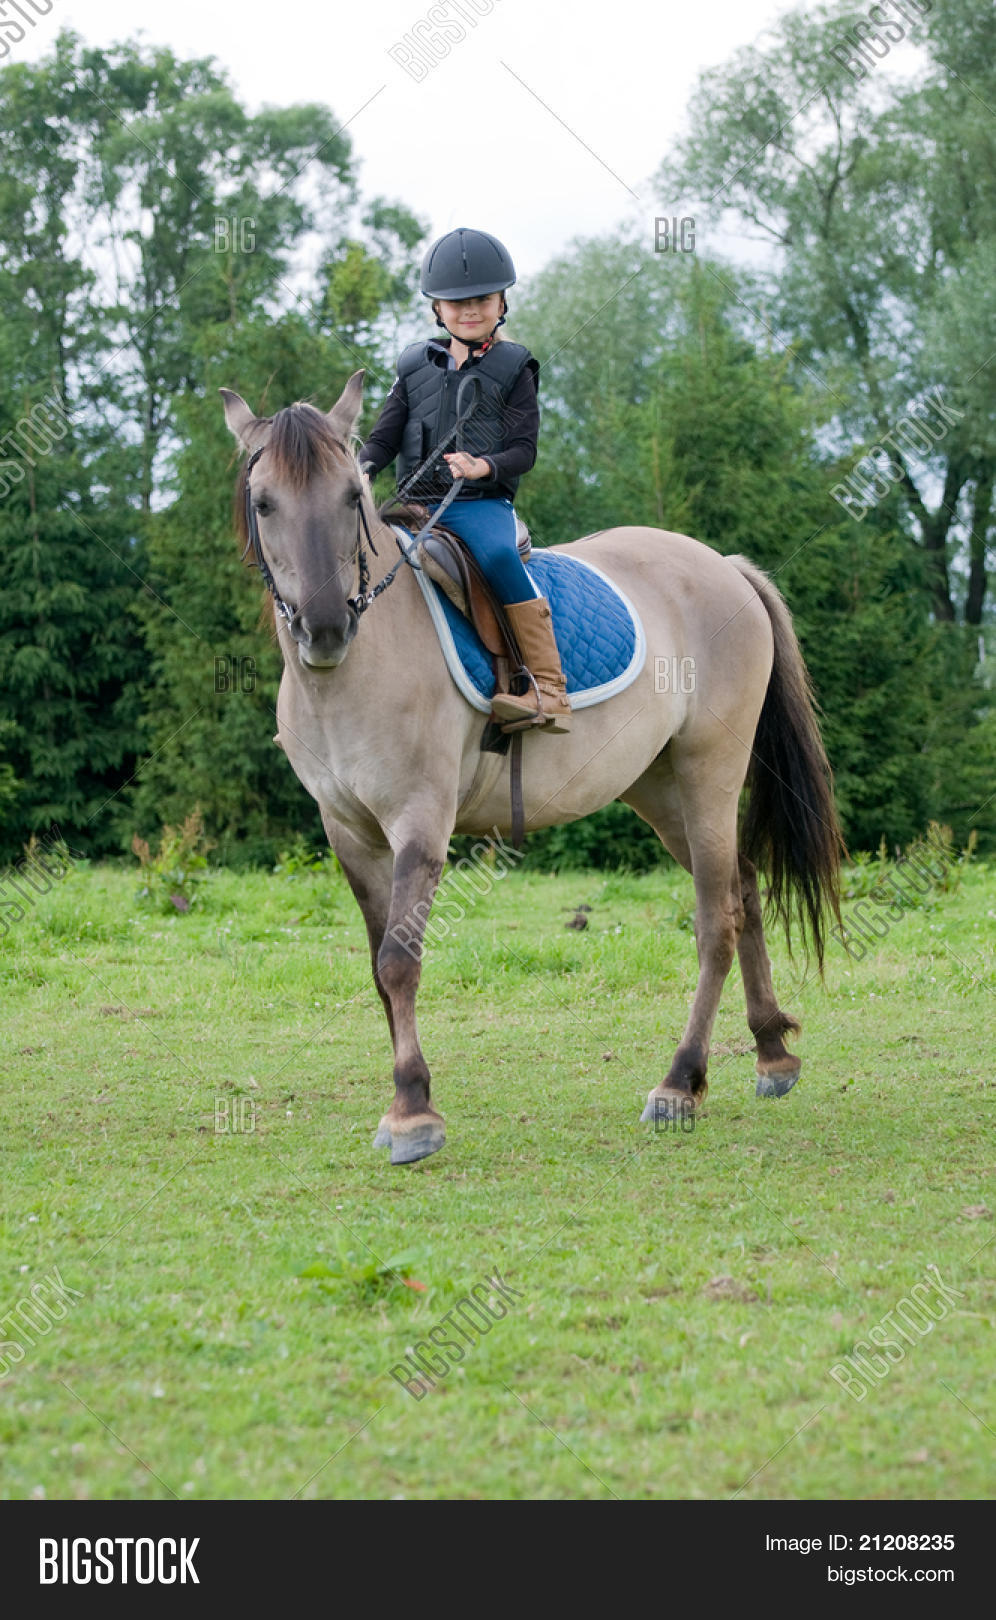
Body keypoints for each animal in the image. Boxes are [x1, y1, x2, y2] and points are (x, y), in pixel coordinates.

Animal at [220, 371, 843, 1165]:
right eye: (265, 502)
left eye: (350, 497)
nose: (327, 627)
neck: (355, 669)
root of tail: (721, 567)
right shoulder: (349, 833)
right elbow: (377, 967)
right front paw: (407, 1099)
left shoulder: (421, 822)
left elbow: (399, 959)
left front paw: (413, 1113)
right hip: (662, 790)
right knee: (745, 889)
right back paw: (770, 1053)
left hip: (709, 774)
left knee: (715, 921)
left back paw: (680, 1083)